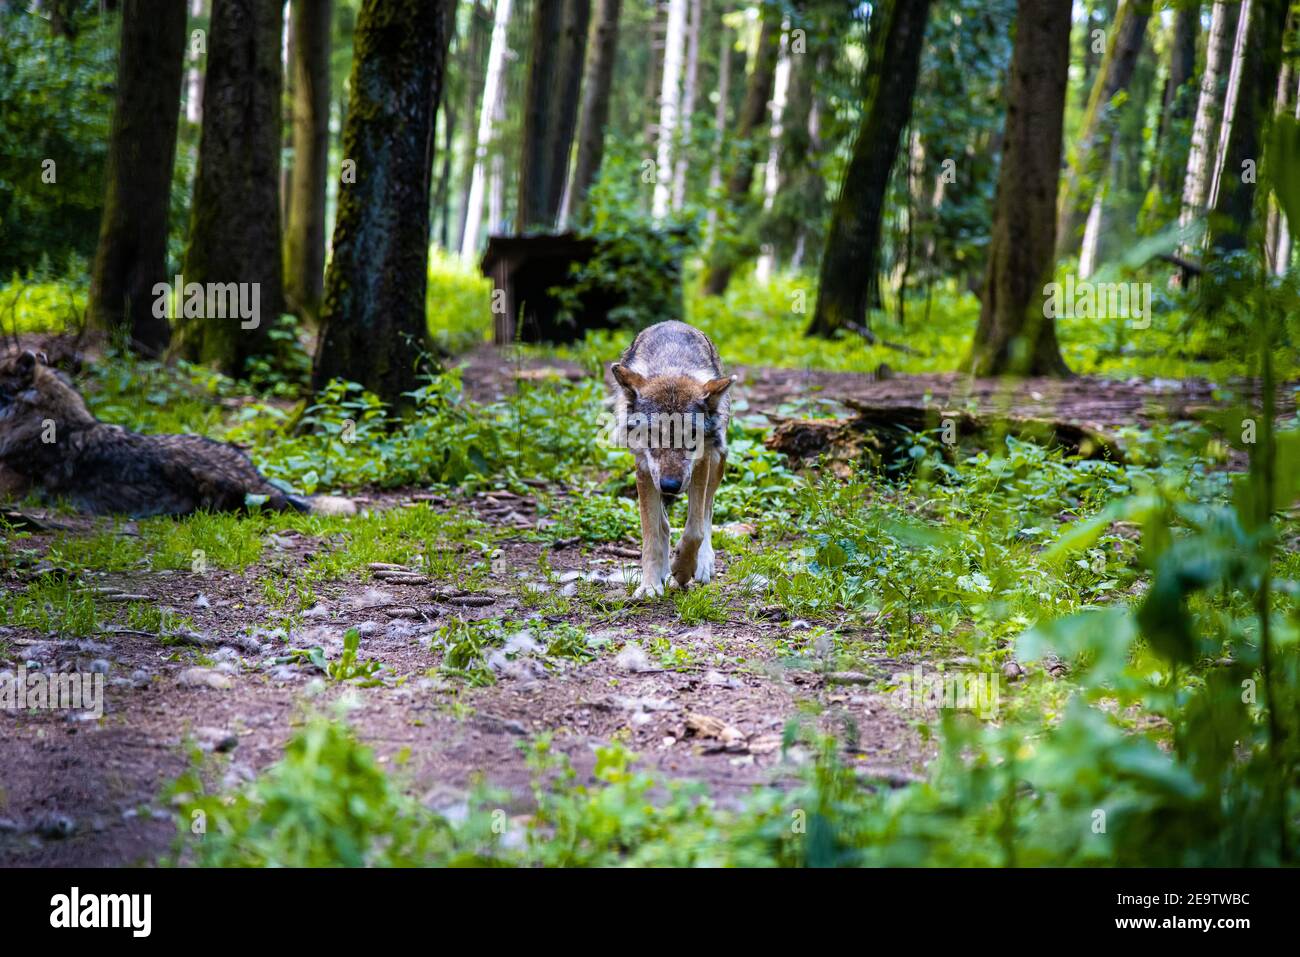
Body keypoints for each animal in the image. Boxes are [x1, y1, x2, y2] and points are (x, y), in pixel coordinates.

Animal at [610, 321, 735, 598]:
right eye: (652, 433)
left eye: (691, 435)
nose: (670, 486)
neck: (671, 366)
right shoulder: (644, 470)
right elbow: (651, 537)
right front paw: (649, 584)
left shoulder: (701, 463)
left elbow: (695, 529)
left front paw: (684, 569)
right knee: (664, 525)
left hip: (717, 458)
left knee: (708, 512)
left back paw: (703, 565)